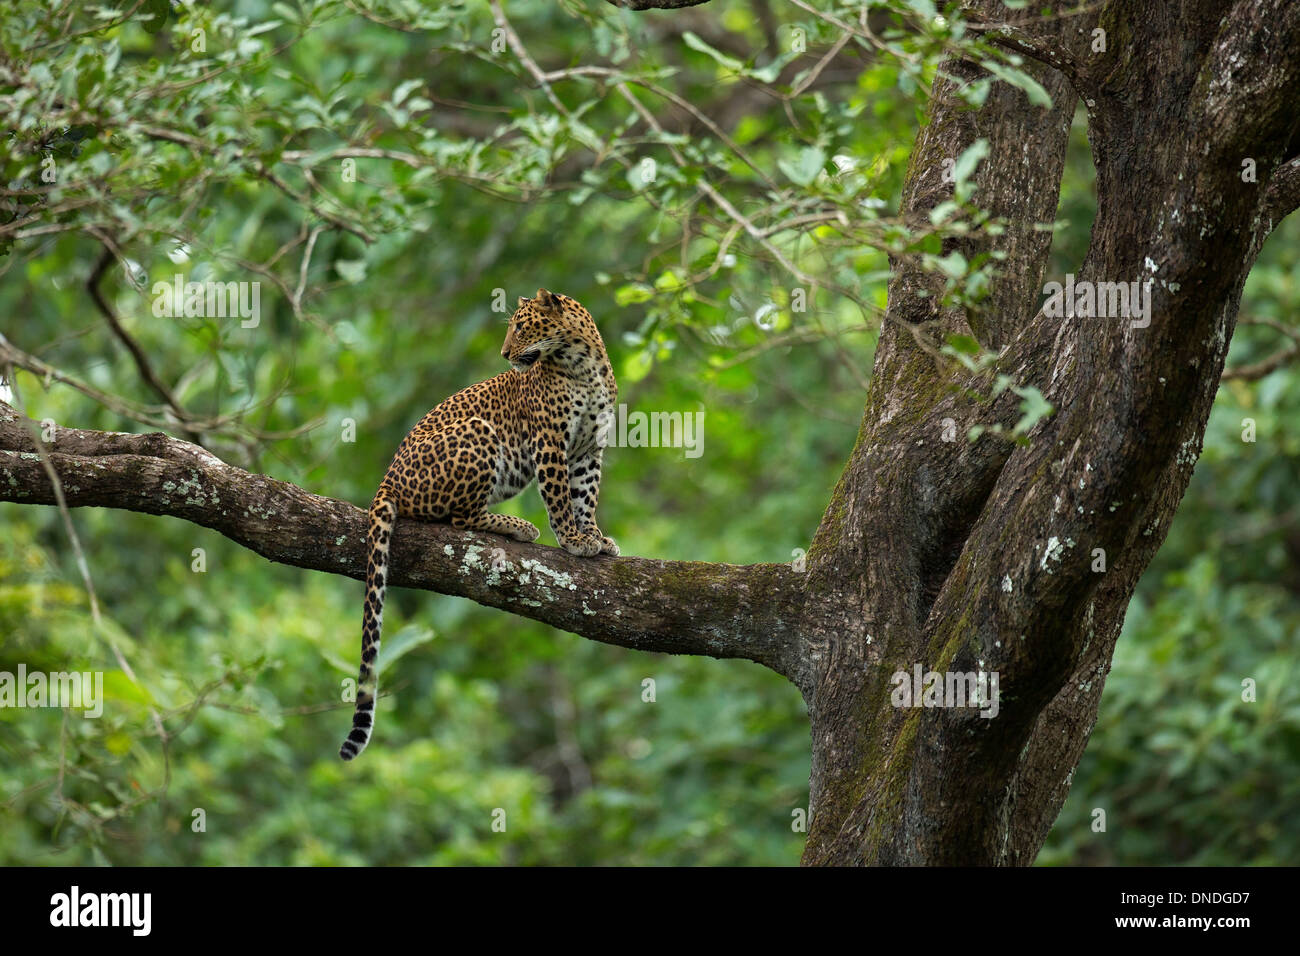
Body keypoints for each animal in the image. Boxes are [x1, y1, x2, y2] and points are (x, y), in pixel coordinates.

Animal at [339, 288, 619, 760]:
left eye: (521, 326)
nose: (504, 354)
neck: (583, 366)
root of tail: (387, 480)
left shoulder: (588, 449)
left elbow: (586, 496)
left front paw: (594, 536)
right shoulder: (550, 443)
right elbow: (560, 499)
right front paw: (573, 539)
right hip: (479, 433)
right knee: (460, 516)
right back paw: (516, 525)